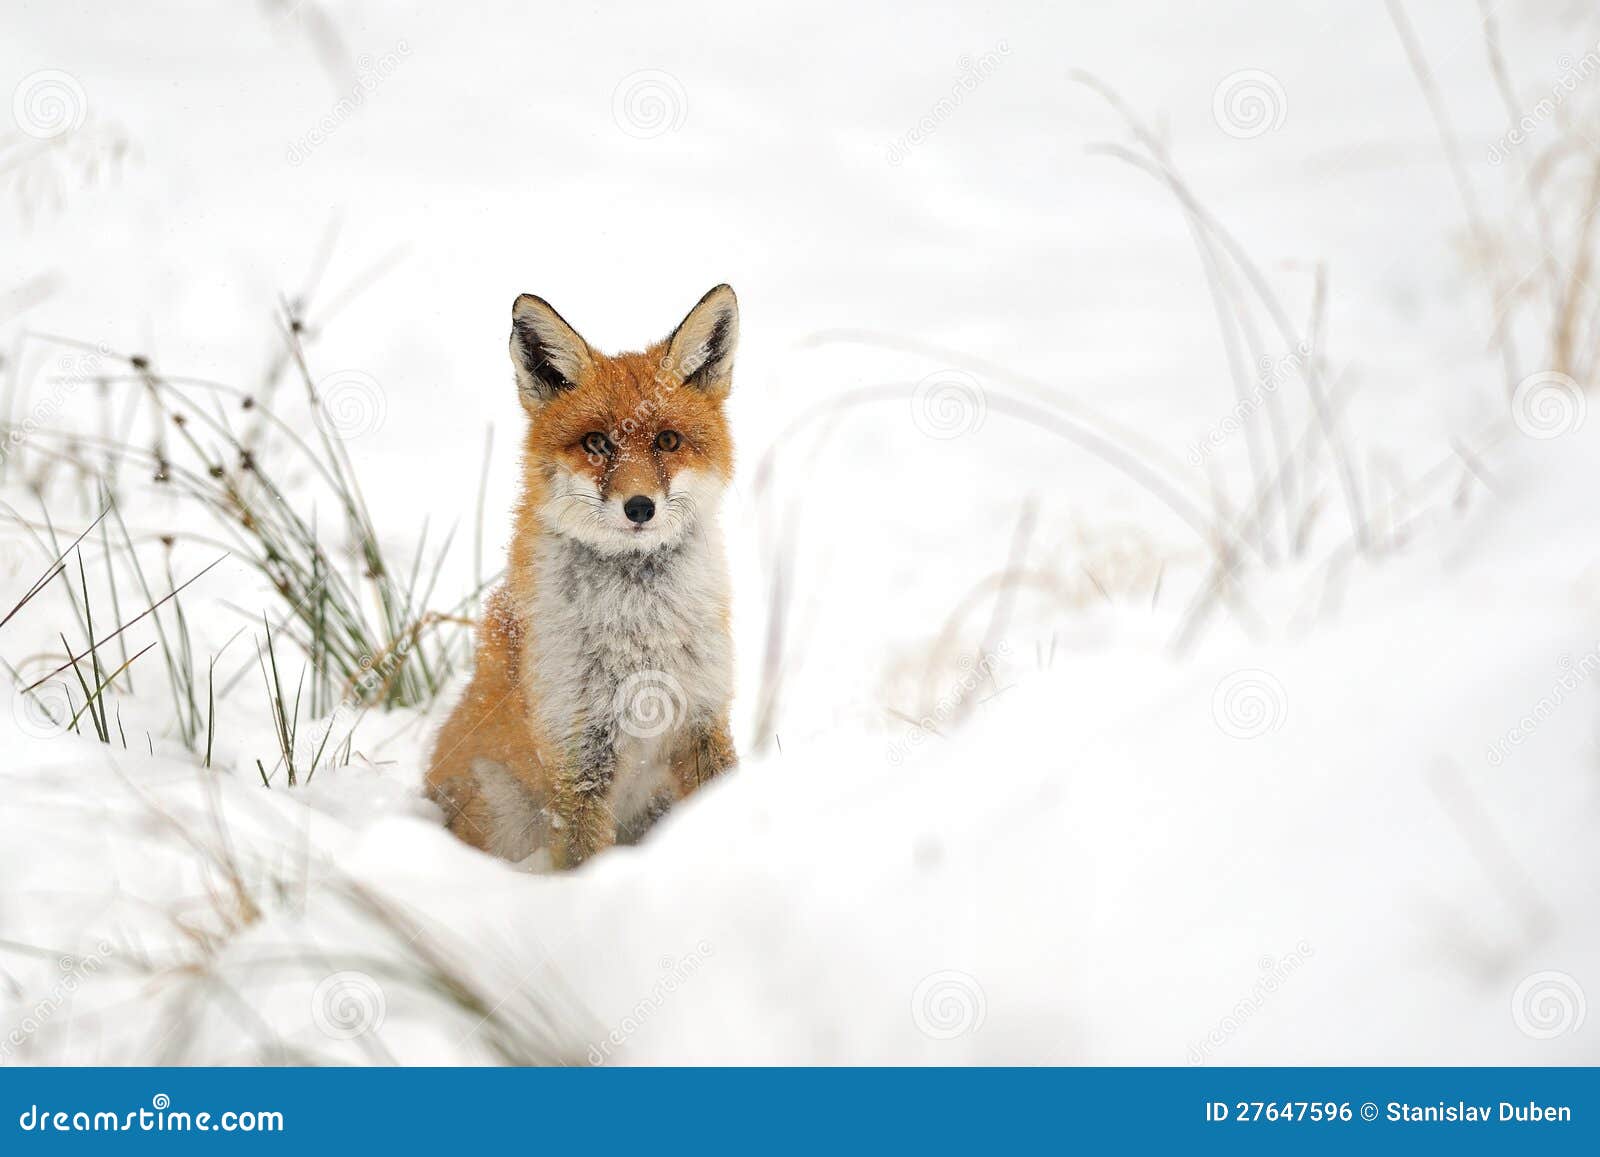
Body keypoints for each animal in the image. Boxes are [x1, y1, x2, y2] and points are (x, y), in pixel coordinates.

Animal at [425, 285, 739, 868]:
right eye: (597, 443)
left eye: (667, 441)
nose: (639, 508)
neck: (641, 633)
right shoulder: (577, 754)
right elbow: (583, 856)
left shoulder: (703, 717)